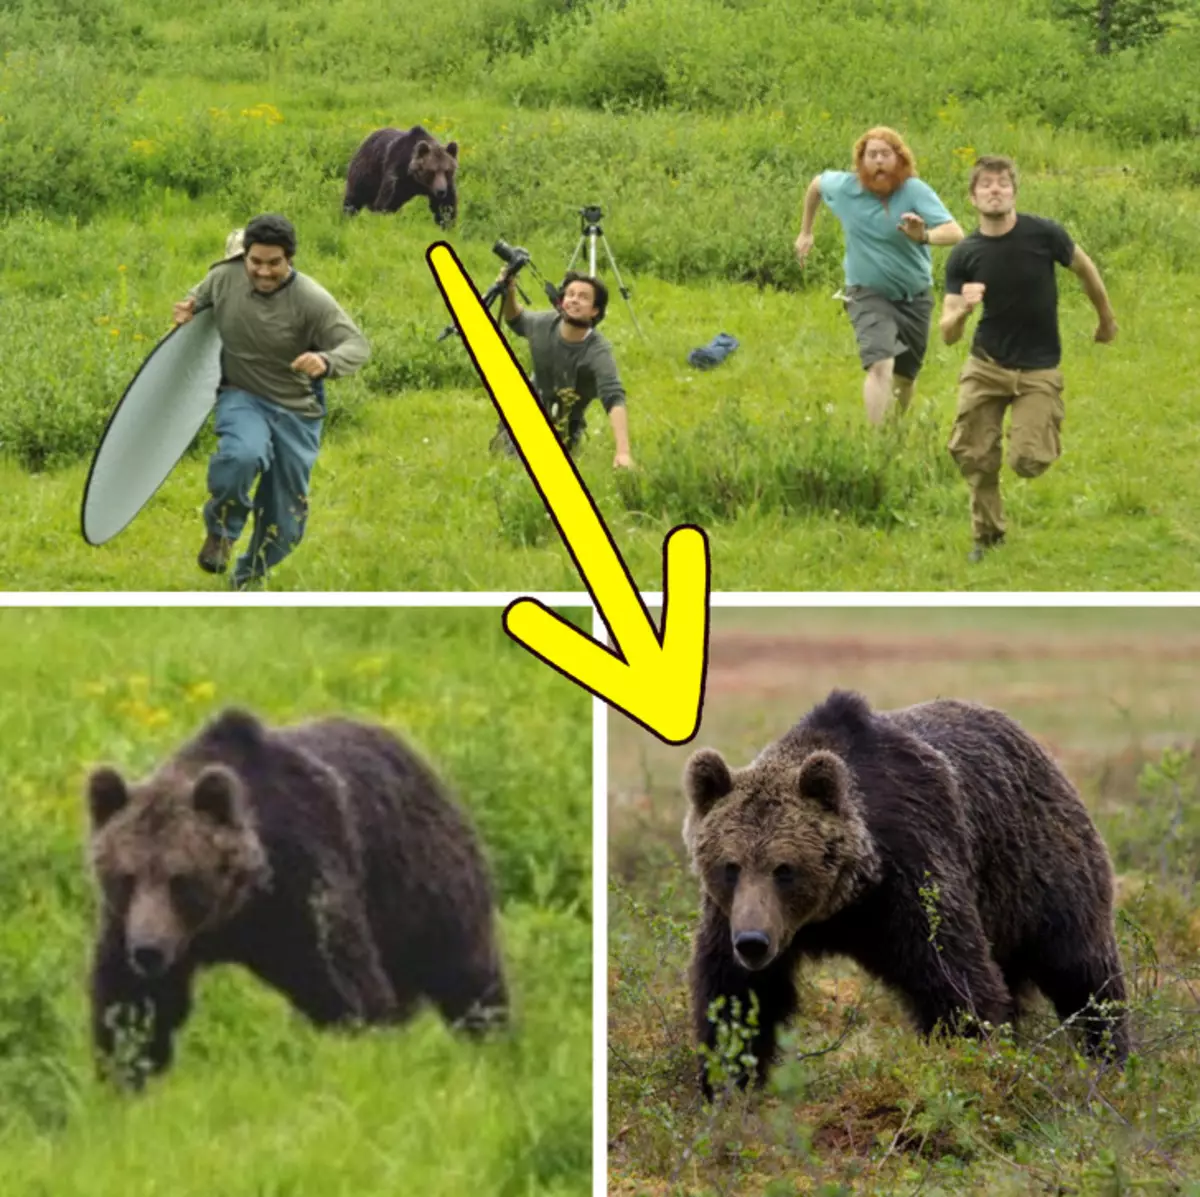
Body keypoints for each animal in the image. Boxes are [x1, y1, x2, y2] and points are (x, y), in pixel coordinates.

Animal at [83, 705, 506, 1093]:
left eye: (180, 879)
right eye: (126, 876)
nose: (148, 950)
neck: (233, 915)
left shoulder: (302, 886)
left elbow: (348, 987)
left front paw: (365, 1058)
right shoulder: (131, 925)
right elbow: (134, 1007)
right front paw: (127, 1076)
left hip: (423, 881)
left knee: (465, 974)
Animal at [681, 695, 1128, 1098]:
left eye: (785, 868)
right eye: (730, 866)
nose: (753, 942)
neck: (843, 904)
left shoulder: (913, 873)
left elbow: (955, 979)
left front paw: (968, 1060)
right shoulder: (732, 916)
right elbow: (735, 995)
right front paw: (727, 1084)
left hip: (1043, 873)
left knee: (1082, 971)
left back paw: (1110, 1058)